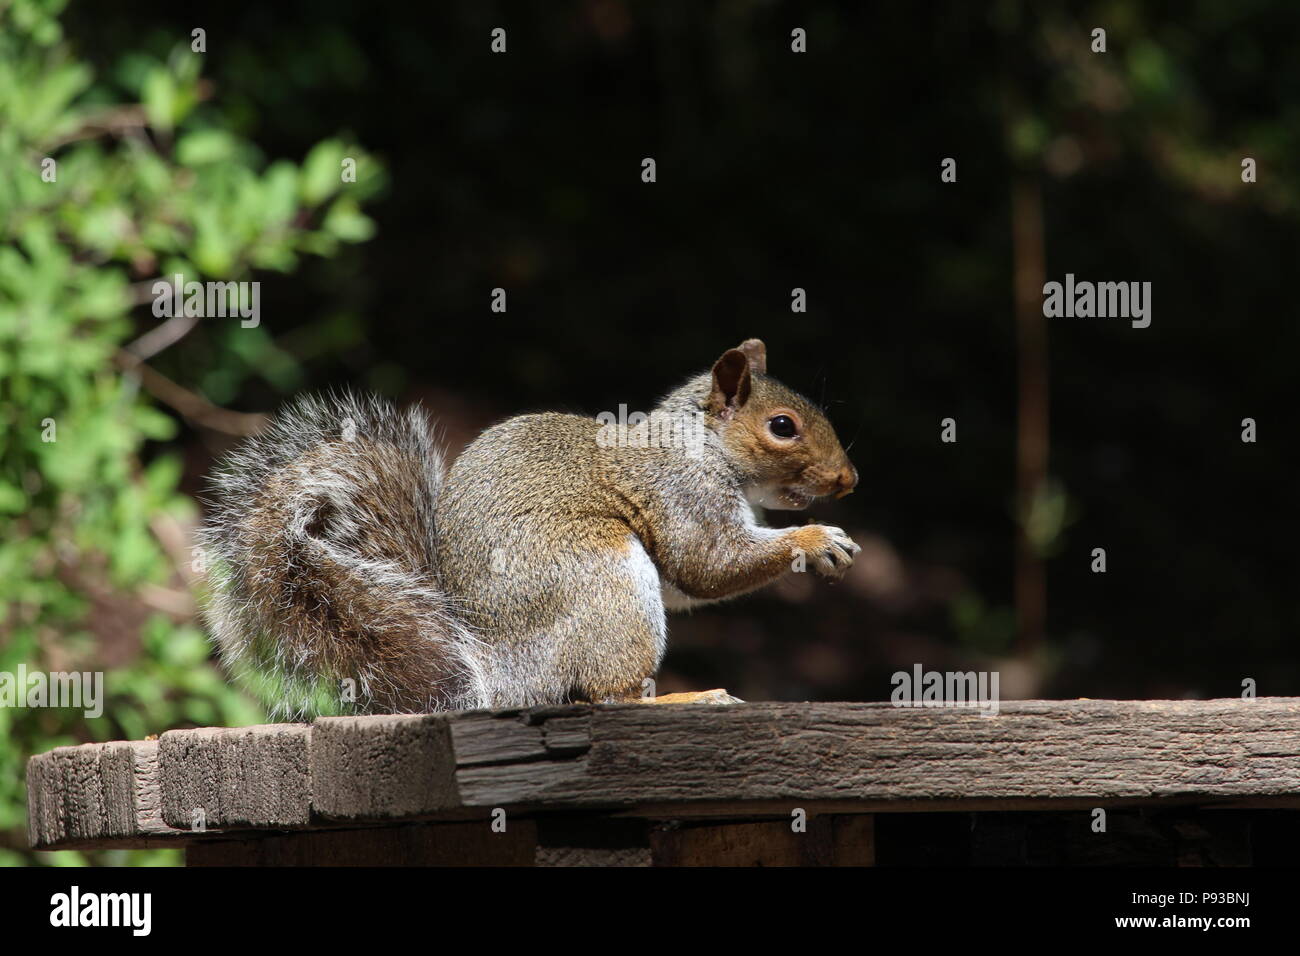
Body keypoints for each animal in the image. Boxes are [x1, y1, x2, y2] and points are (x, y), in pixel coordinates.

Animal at [198, 338, 860, 717]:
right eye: (782, 426)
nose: (849, 480)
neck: (701, 445)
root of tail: (498, 676)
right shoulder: (681, 491)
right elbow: (711, 562)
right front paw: (816, 540)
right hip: (606, 579)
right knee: (608, 695)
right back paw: (684, 698)